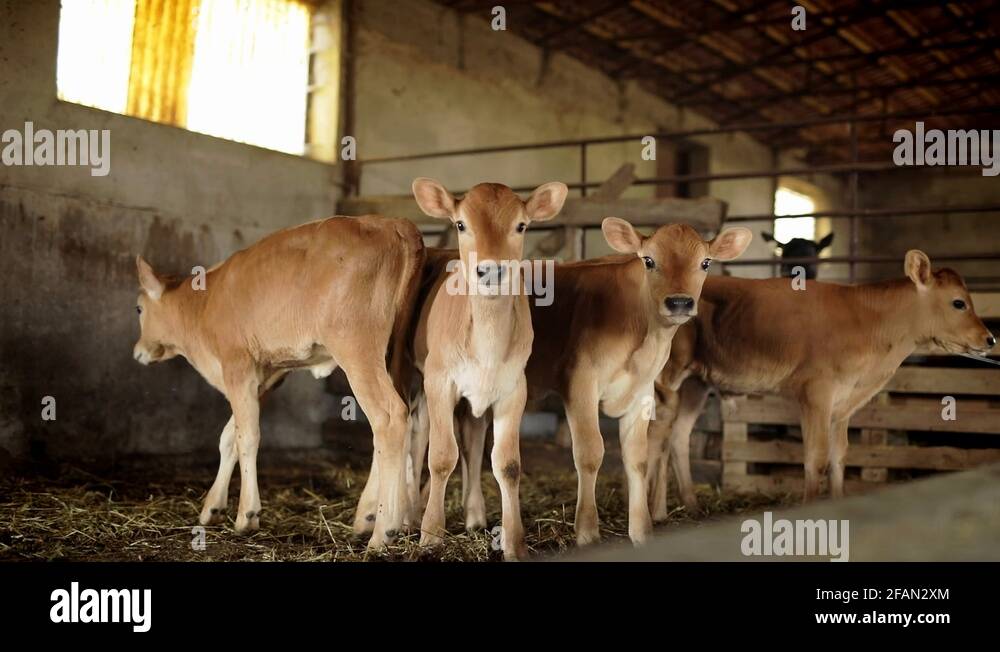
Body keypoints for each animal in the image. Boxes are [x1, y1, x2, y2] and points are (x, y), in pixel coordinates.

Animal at [133, 215, 425, 549]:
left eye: (139, 308)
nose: (138, 351)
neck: (203, 304)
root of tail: (393, 224)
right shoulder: (266, 377)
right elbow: (229, 436)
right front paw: (212, 508)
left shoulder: (238, 365)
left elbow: (247, 437)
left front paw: (246, 515)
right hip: (394, 356)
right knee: (402, 419)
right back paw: (372, 517)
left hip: (357, 350)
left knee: (389, 418)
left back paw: (383, 530)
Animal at [646, 250, 996, 517]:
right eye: (959, 303)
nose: (990, 339)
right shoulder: (816, 393)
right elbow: (815, 458)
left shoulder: (844, 403)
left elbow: (839, 457)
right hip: (667, 377)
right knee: (656, 436)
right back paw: (656, 512)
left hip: (695, 383)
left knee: (677, 437)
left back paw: (687, 506)